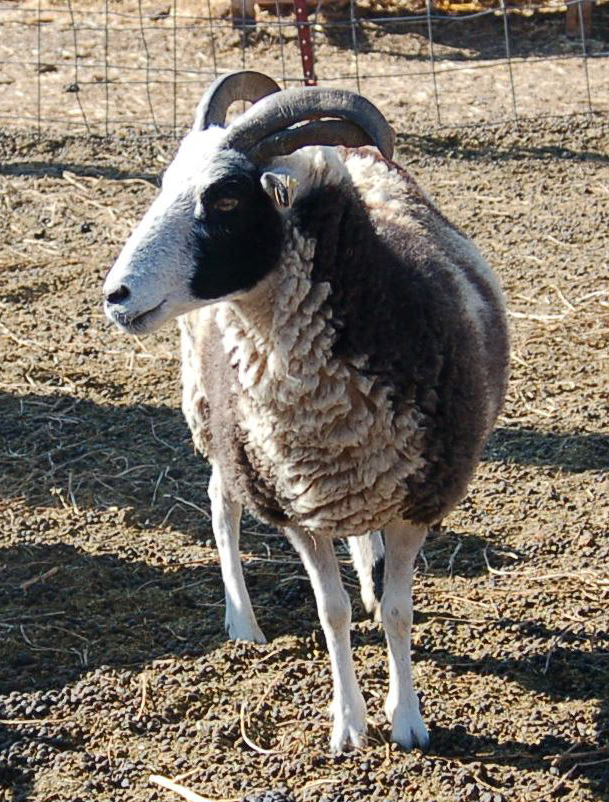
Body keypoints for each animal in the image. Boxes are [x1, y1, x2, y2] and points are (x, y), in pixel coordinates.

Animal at [103, 70, 509, 754]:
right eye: (164, 183)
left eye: (226, 199)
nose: (116, 295)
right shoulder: (291, 503)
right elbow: (331, 611)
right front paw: (349, 723)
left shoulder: (421, 496)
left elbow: (397, 610)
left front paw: (407, 720)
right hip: (215, 418)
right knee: (221, 506)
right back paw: (242, 620)